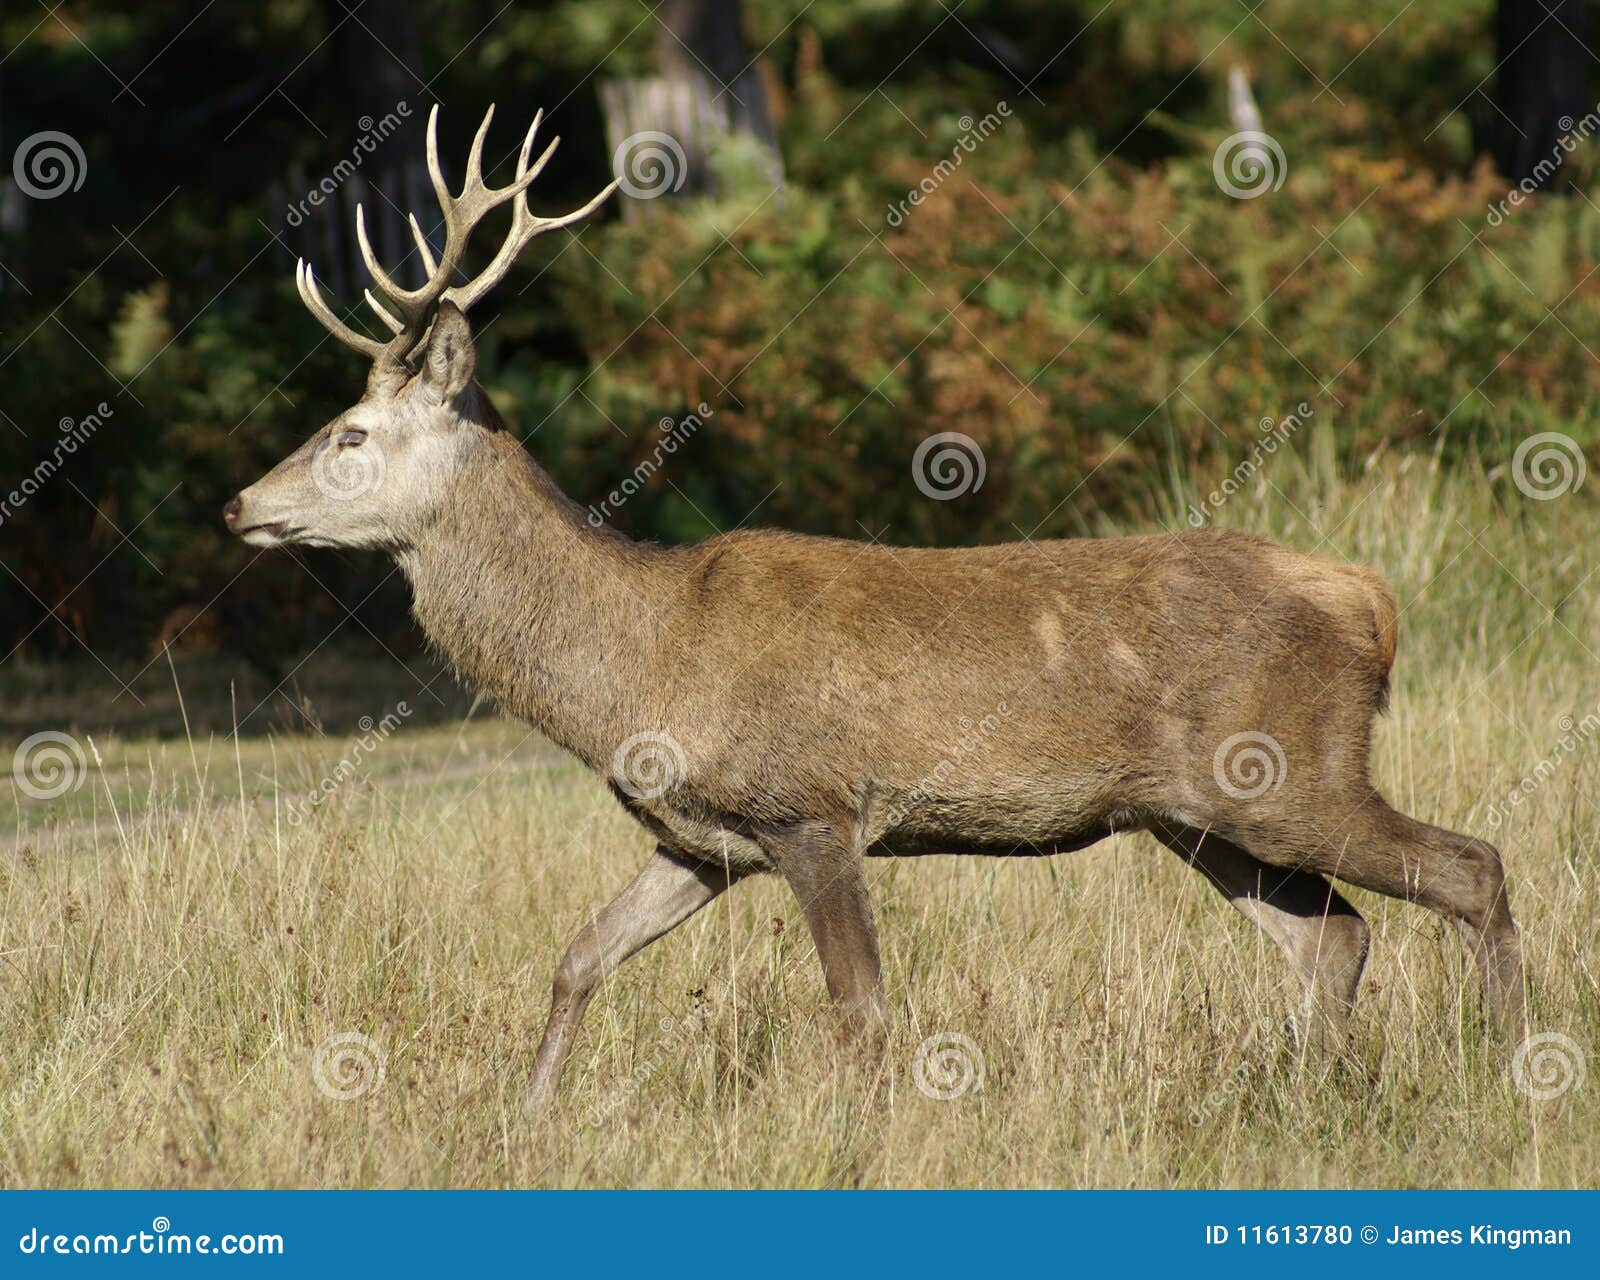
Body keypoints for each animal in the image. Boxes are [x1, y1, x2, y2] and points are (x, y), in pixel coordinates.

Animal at [226, 105, 1527, 1112]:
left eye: (351, 432)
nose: (240, 503)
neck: (639, 658)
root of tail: (1369, 596)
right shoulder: (700, 837)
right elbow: (578, 957)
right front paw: (529, 1115)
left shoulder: (812, 803)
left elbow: (859, 1007)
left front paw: (859, 1137)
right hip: (1194, 812)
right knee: (1334, 931)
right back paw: (1313, 1091)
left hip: (1288, 766)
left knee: (1470, 865)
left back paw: (1512, 1068)